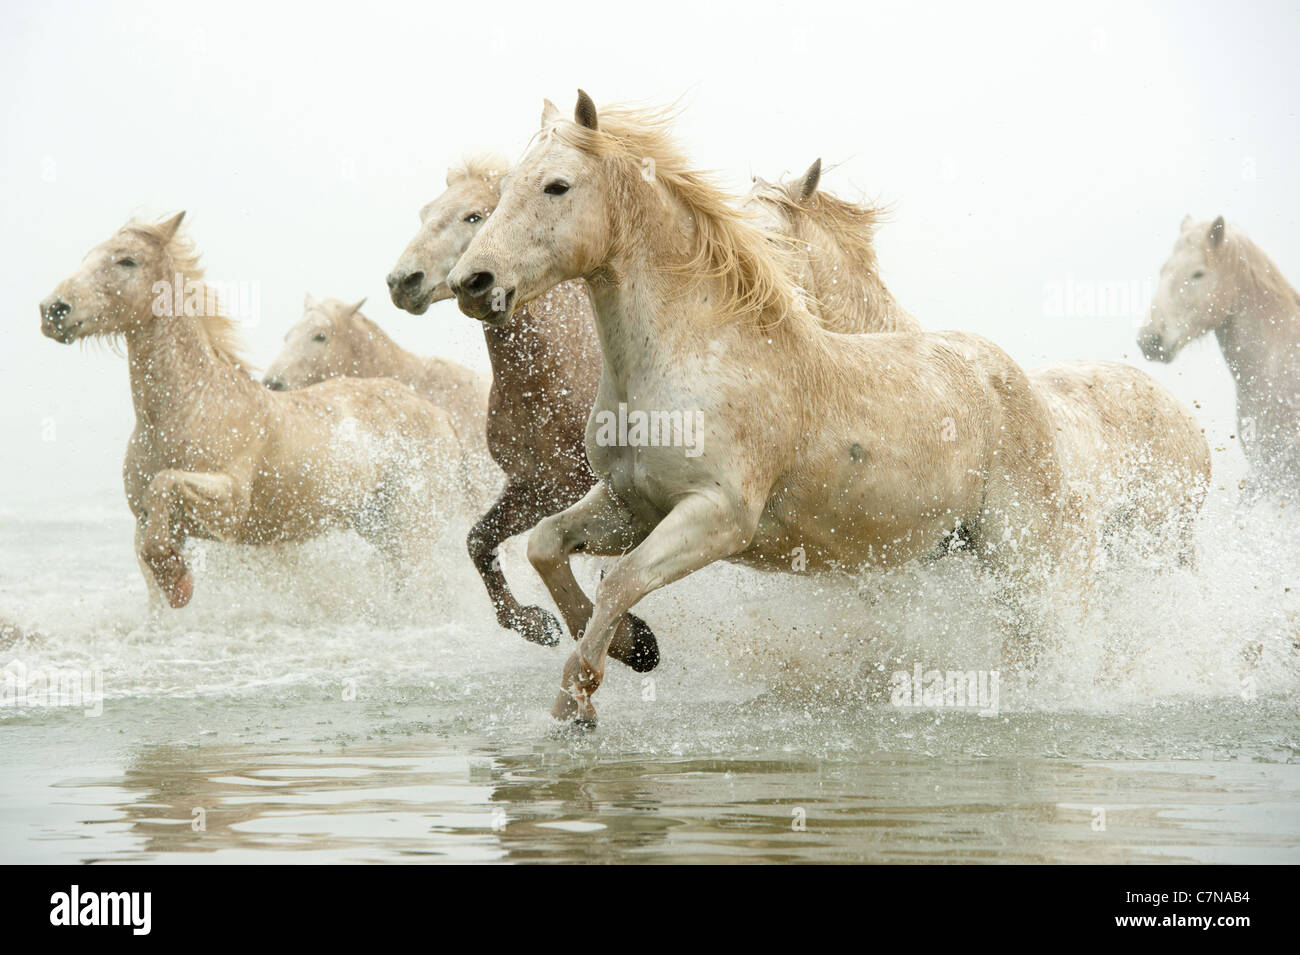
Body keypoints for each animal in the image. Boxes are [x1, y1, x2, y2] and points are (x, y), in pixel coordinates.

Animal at [39, 213, 466, 609]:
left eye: (126, 260)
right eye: (87, 256)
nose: (53, 310)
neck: (191, 405)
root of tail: (440, 416)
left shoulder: (229, 506)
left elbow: (166, 484)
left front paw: (177, 579)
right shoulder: (146, 523)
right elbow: (154, 573)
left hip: (410, 529)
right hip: (379, 528)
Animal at [385, 153, 660, 671]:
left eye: (474, 216)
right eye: (425, 212)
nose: (402, 281)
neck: (545, 380)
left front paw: (633, 642)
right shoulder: (538, 487)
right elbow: (479, 541)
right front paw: (536, 624)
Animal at [448, 93, 1092, 724]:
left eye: (557, 186)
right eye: (501, 193)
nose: (471, 282)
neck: (691, 356)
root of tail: (1012, 378)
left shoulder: (717, 517)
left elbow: (620, 581)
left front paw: (576, 702)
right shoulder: (631, 504)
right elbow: (547, 545)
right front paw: (635, 645)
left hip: (1017, 559)